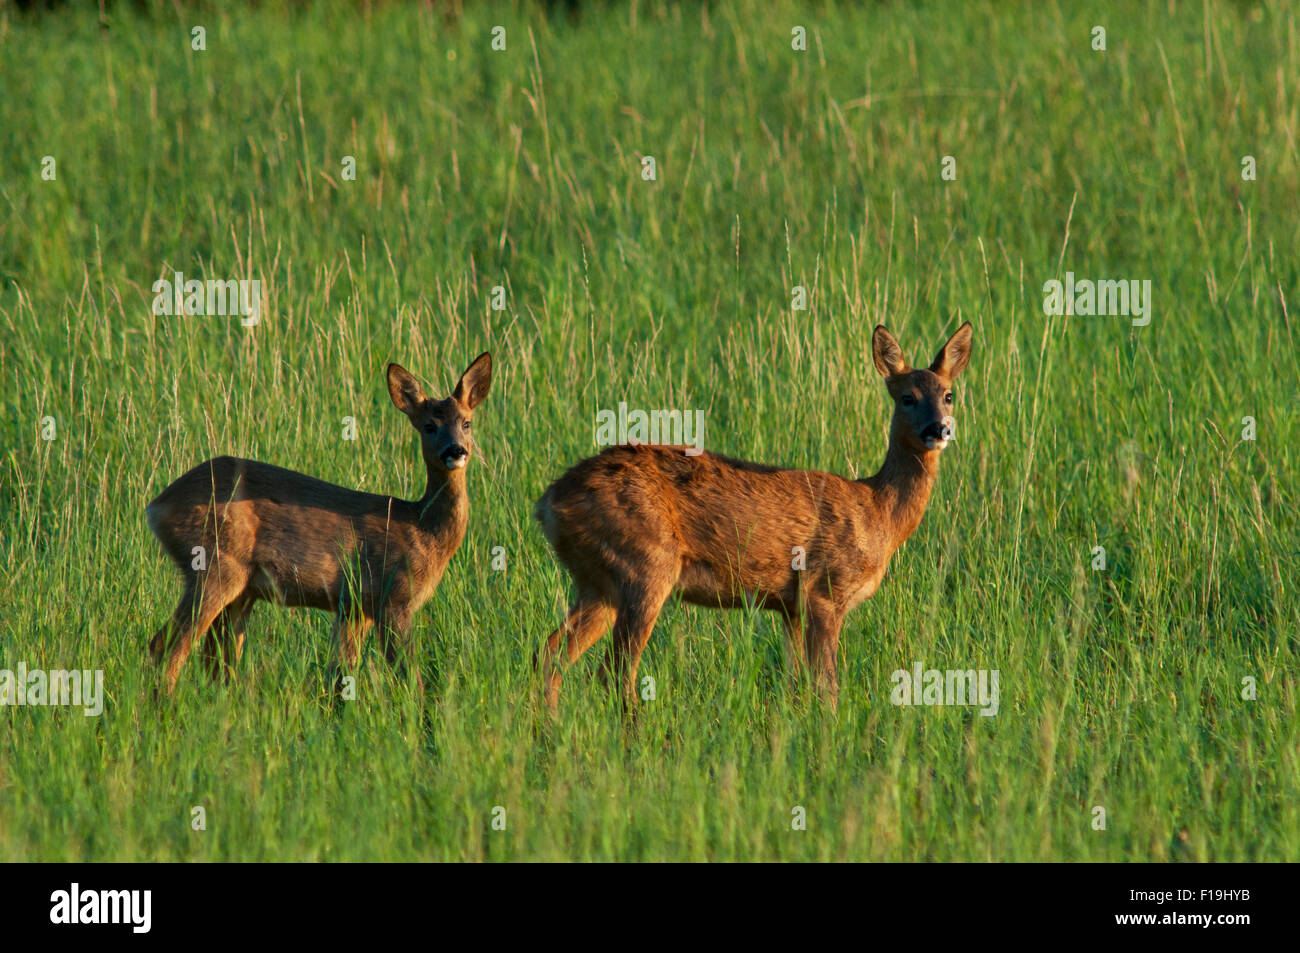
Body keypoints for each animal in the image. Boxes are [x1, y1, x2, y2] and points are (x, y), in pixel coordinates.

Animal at [145, 353, 493, 696]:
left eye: (467, 422)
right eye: (429, 426)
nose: (456, 451)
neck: (422, 530)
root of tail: (157, 506)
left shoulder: (353, 607)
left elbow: (339, 676)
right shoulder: (392, 596)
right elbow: (409, 678)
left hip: (241, 590)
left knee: (216, 661)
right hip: (214, 563)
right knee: (167, 646)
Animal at [535, 323, 972, 712]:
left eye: (949, 395)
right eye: (907, 397)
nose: (939, 429)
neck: (878, 512)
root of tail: (550, 502)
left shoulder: (790, 607)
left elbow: (798, 685)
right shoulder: (824, 590)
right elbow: (827, 687)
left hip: (598, 583)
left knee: (551, 652)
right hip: (645, 565)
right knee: (614, 672)